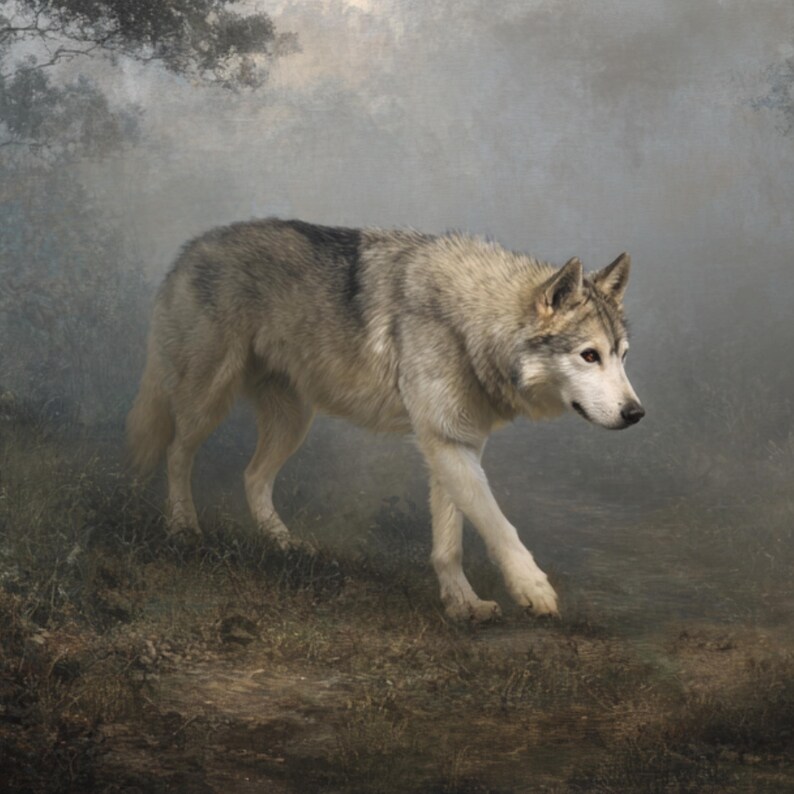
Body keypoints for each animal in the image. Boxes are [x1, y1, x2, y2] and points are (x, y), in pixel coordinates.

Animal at [127, 218, 644, 621]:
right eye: (589, 355)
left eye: (621, 356)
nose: (637, 413)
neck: (470, 326)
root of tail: (191, 247)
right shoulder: (445, 444)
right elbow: (498, 523)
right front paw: (531, 587)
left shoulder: (456, 444)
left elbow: (450, 541)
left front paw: (463, 605)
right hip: (209, 400)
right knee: (177, 453)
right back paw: (183, 528)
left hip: (293, 421)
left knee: (252, 476)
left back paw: (284, 544)